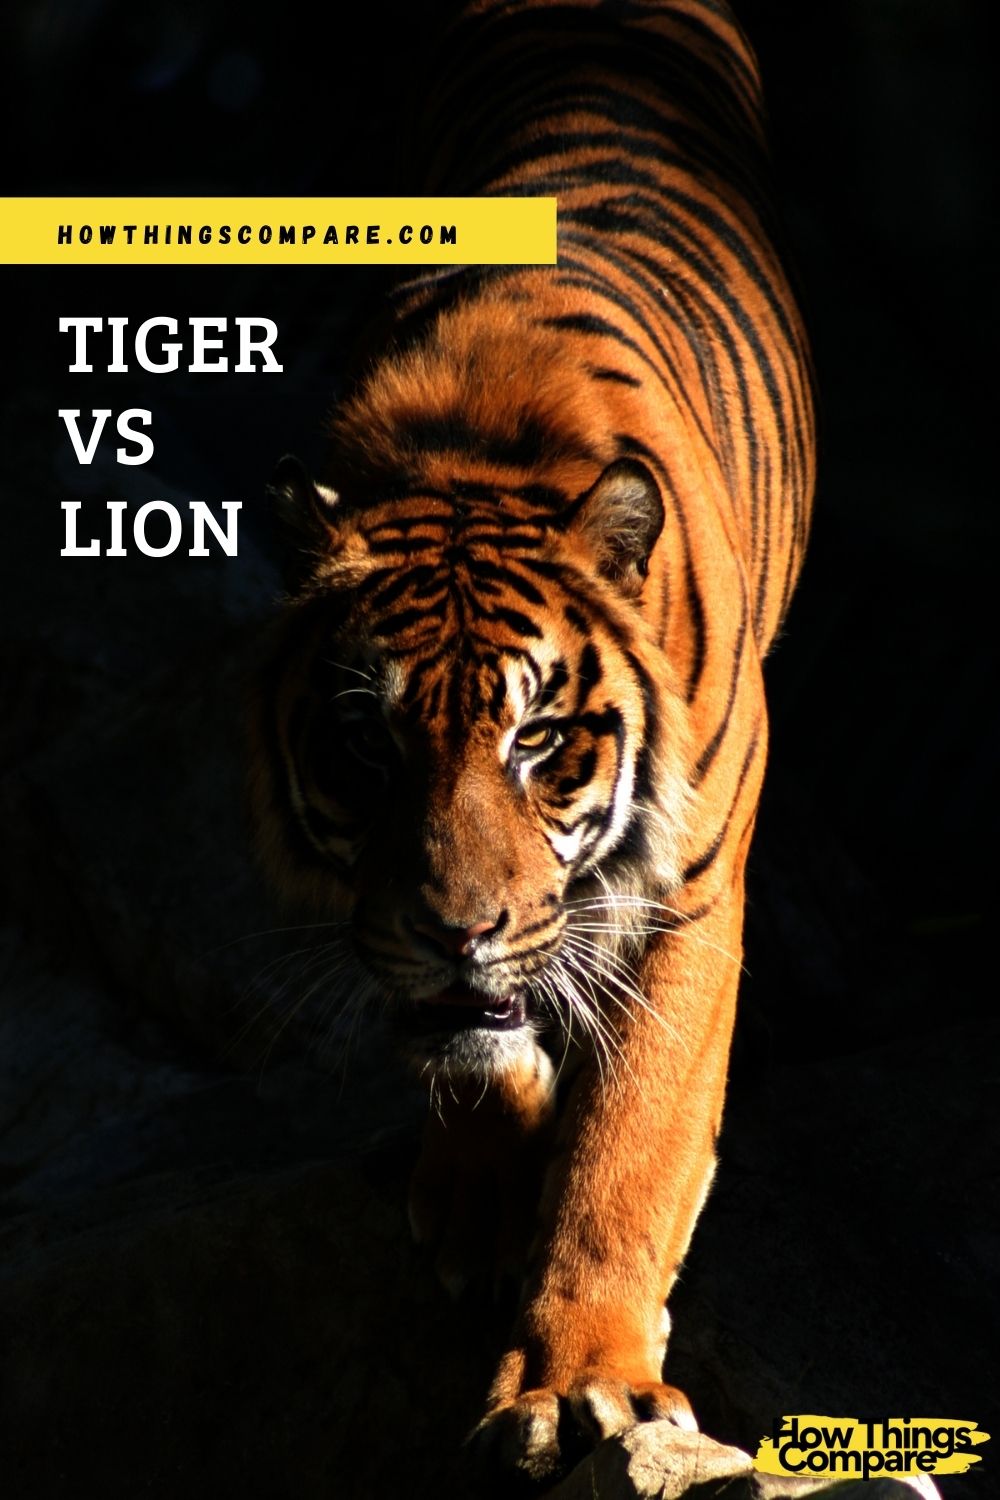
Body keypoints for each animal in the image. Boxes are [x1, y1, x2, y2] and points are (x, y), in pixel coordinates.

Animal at [249, 0, 815, 1485]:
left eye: (541, 738)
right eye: (367, 743)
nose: (462, 926)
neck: (473, 460)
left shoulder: (686, 898)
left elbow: (630, 1152)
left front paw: (579, 1386)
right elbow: (470, 1039)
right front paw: (473, 1192)